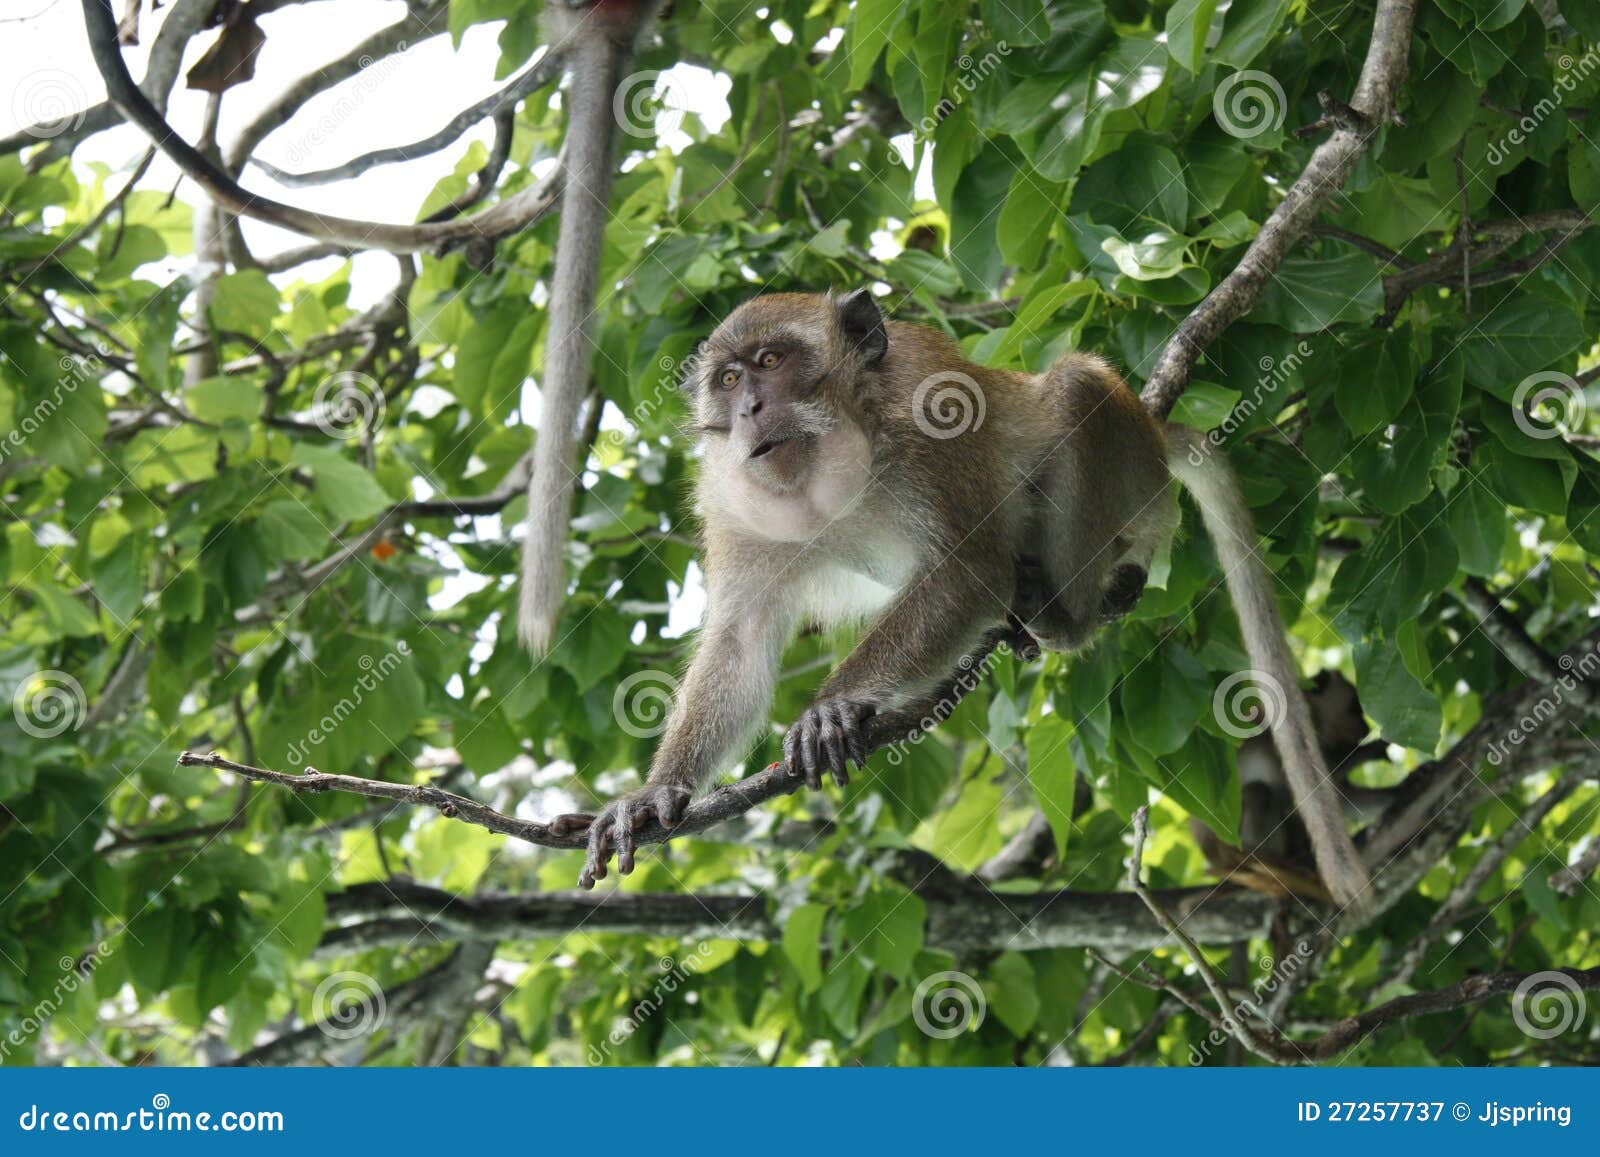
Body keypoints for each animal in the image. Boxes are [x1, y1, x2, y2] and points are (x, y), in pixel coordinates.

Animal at [547, 290, 1371, 909]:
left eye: (773, 362)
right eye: (727, 380)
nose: (748, 409)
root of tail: (1154, 430)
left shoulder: (929, 424)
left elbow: (968, 570)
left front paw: (833, 706)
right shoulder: (733, 496)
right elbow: (741, 642)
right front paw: (654, 794)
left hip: (1132, 481)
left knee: (1074, 389)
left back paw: (1062, 615)